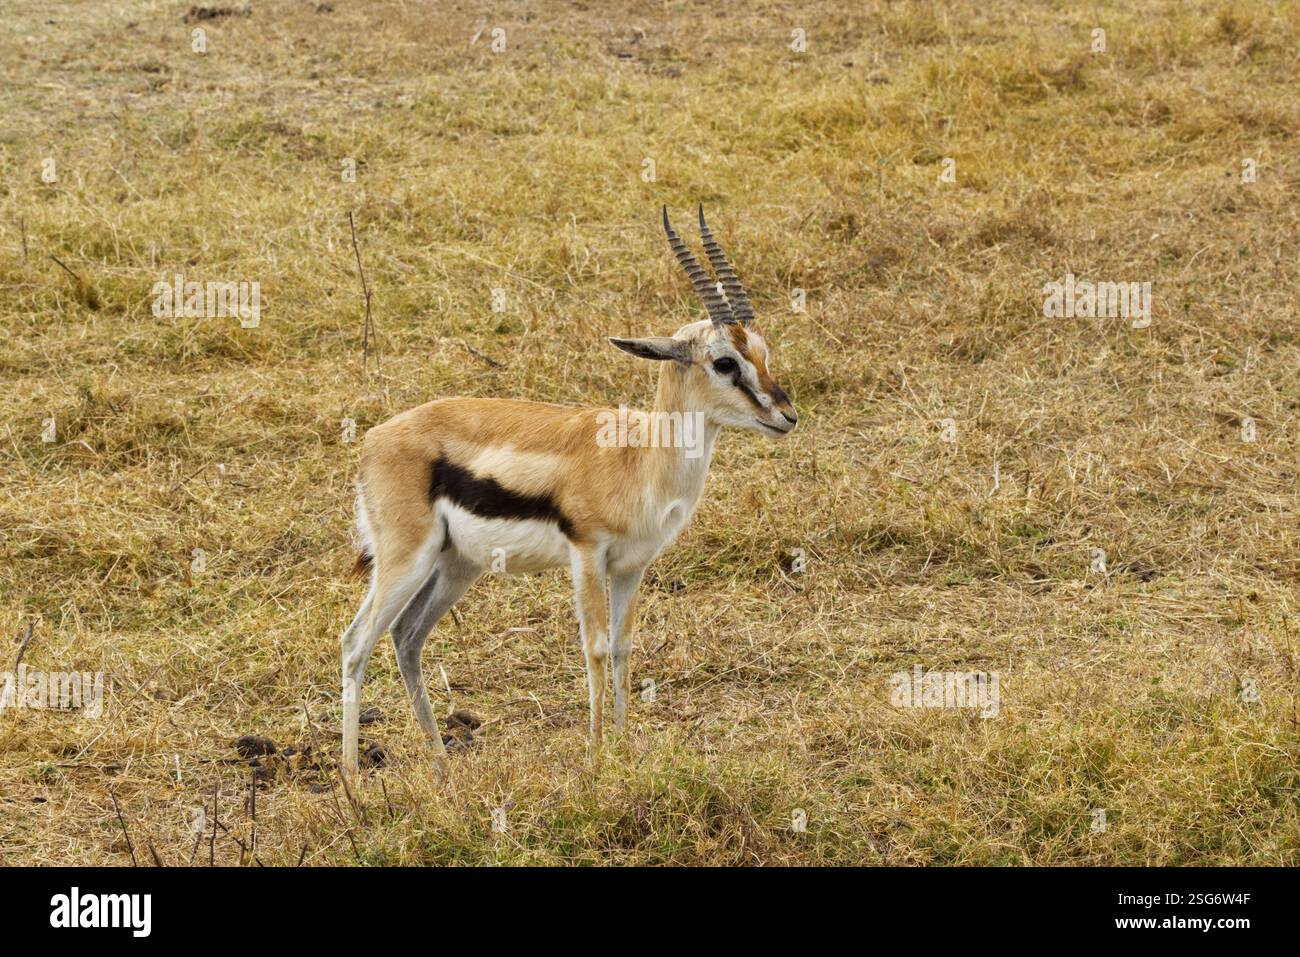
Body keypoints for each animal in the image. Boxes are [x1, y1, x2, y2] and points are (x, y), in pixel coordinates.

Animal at [339, 205, 798, 775]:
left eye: (762, 352)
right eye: (724, 362)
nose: (787, 416)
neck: (638, 457)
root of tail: (375, 439)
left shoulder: (631, 566)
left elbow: (624, 648)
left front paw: (624, 749)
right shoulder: (586, 553)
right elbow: (595, 647)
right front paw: (596, 760)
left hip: (456, 564)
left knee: (406, 637)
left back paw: (442, 767)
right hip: (406, 558)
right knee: (356, 642)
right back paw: (353, 777)